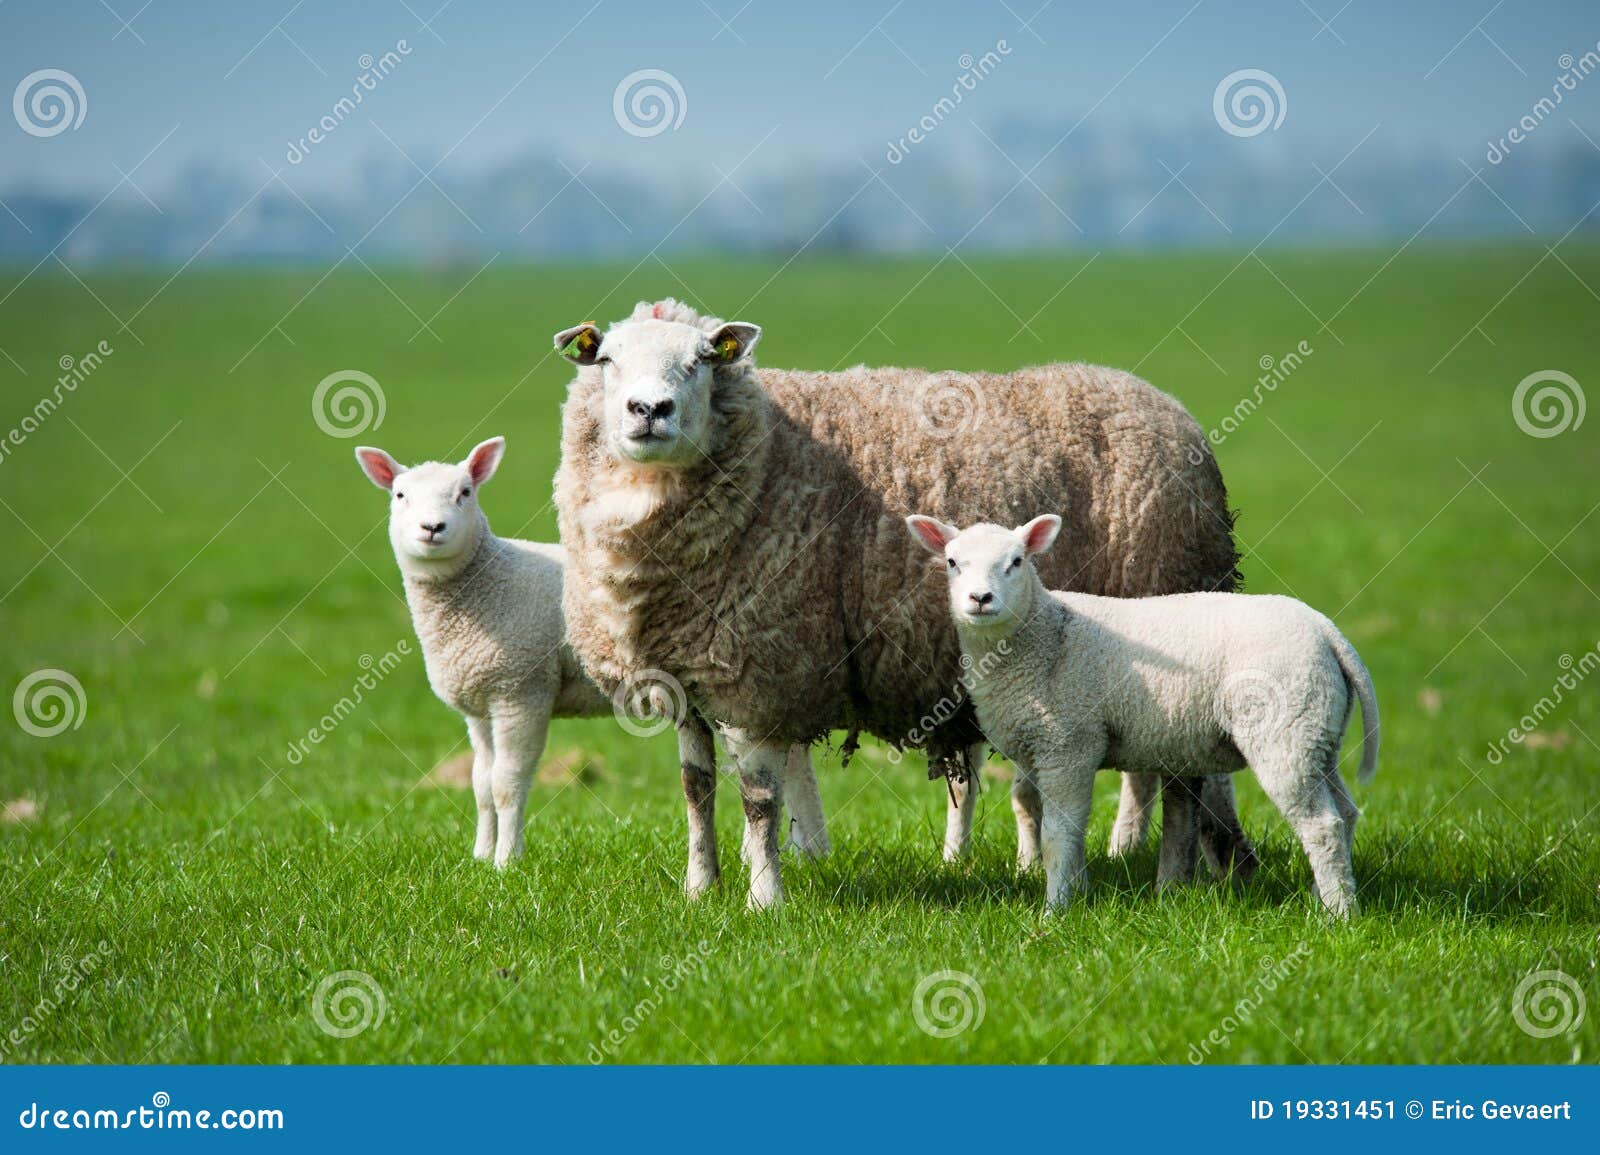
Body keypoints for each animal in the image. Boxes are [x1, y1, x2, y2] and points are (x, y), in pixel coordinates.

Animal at [354, 435, 828, 883]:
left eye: (465, 492)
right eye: (399, 495)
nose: (432, 527)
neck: (486, 582)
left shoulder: (521, 691)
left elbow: (507, 783)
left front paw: (507, 862)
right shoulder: (480, 704)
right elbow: (481, 784)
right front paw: (480, 855)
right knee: (795, 763)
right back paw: (807, 852)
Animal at [552, 298, 1254, 909]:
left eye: (703, 360)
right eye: (606, 359)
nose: (650, 409)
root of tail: (1162, 403)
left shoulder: (760, 676)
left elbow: (758, 799)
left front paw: (764, 901)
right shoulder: (685, 676)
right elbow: (695, 789)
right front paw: (701, 889)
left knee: (1182, 781)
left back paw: (1172, 879)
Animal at [906, 512, 1379, 917]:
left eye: (1017, 561)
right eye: (952, 562)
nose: (980, 599)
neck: (1043, 634)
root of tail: (1326, 632)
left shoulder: (1069, 744)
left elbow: (1059, 834)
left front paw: (1055, 910)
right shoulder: (1045, 747)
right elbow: (1056, 823)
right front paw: (1078, 893)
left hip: (1284, 733)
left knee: (1321, 825)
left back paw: (1339, 915)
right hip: (1317, 732)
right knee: (1345, 812)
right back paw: (1327, 893)